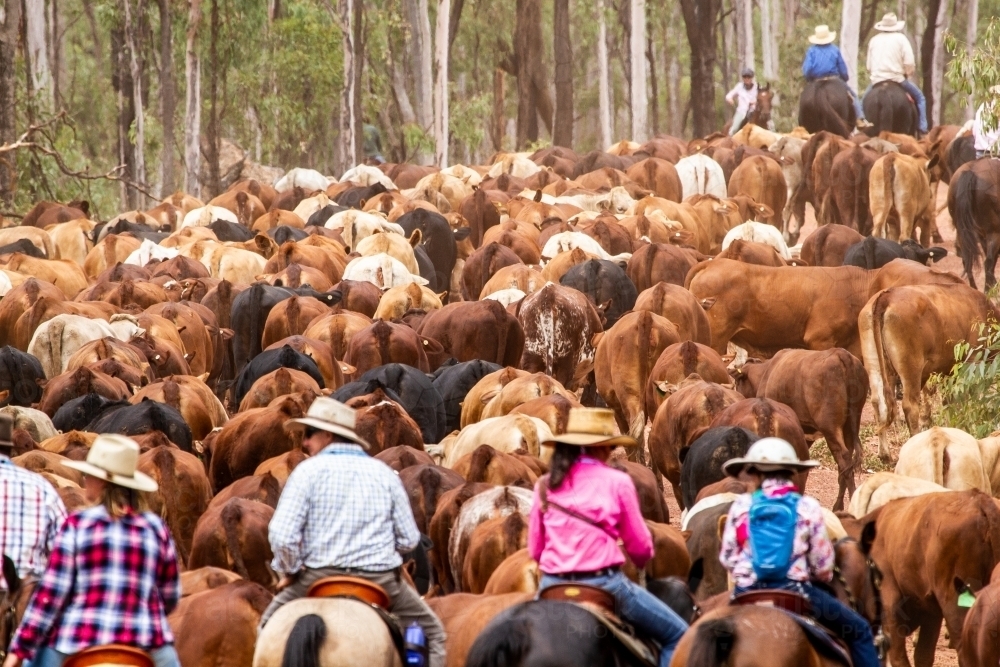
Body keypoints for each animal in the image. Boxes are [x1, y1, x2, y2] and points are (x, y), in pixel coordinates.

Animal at [859, 283, 994, 461]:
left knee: (878, 402)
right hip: (911, 368)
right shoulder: (971, 361)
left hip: (874, 365)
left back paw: (885, 454)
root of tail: (887, 295)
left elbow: (948, 400)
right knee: (910, 406)